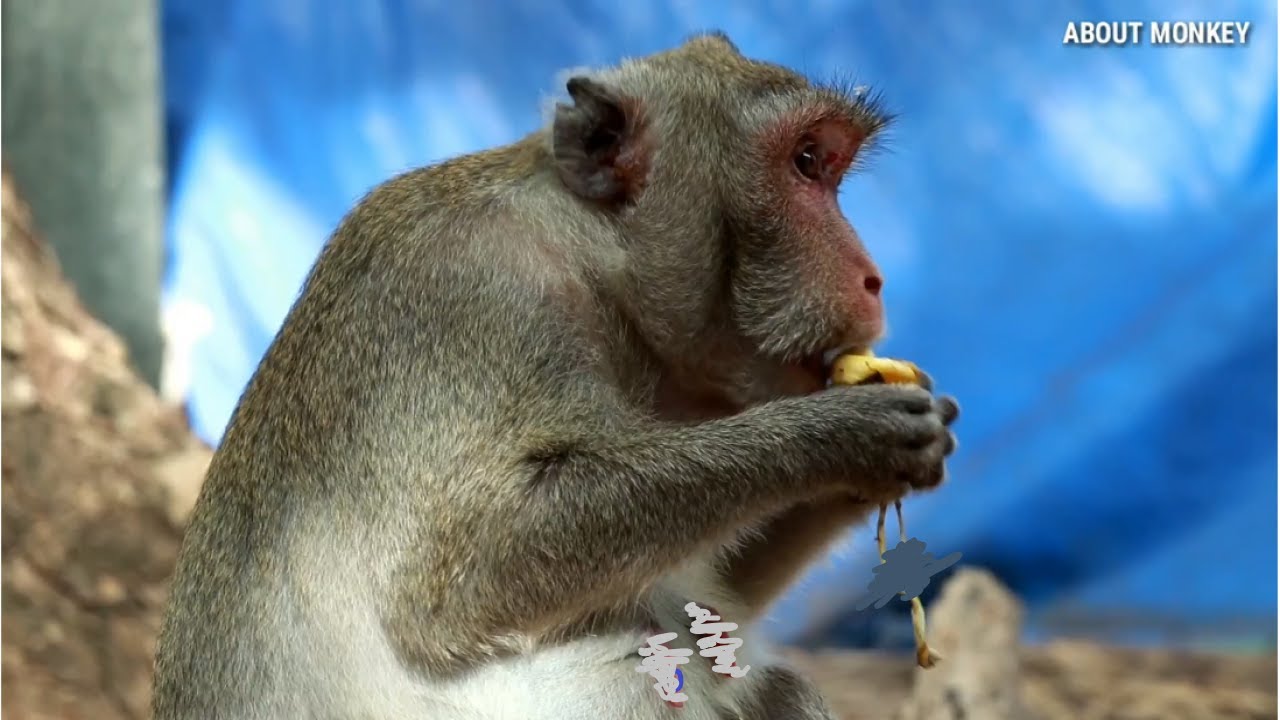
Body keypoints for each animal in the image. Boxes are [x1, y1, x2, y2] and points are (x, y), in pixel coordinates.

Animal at [150, 31, 960, 720]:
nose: (873, 277)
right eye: (806, 163)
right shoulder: (476, 301)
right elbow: (459, 584)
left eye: (826, 163)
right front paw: (841, 434)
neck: (588, 258)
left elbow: (718, 596)